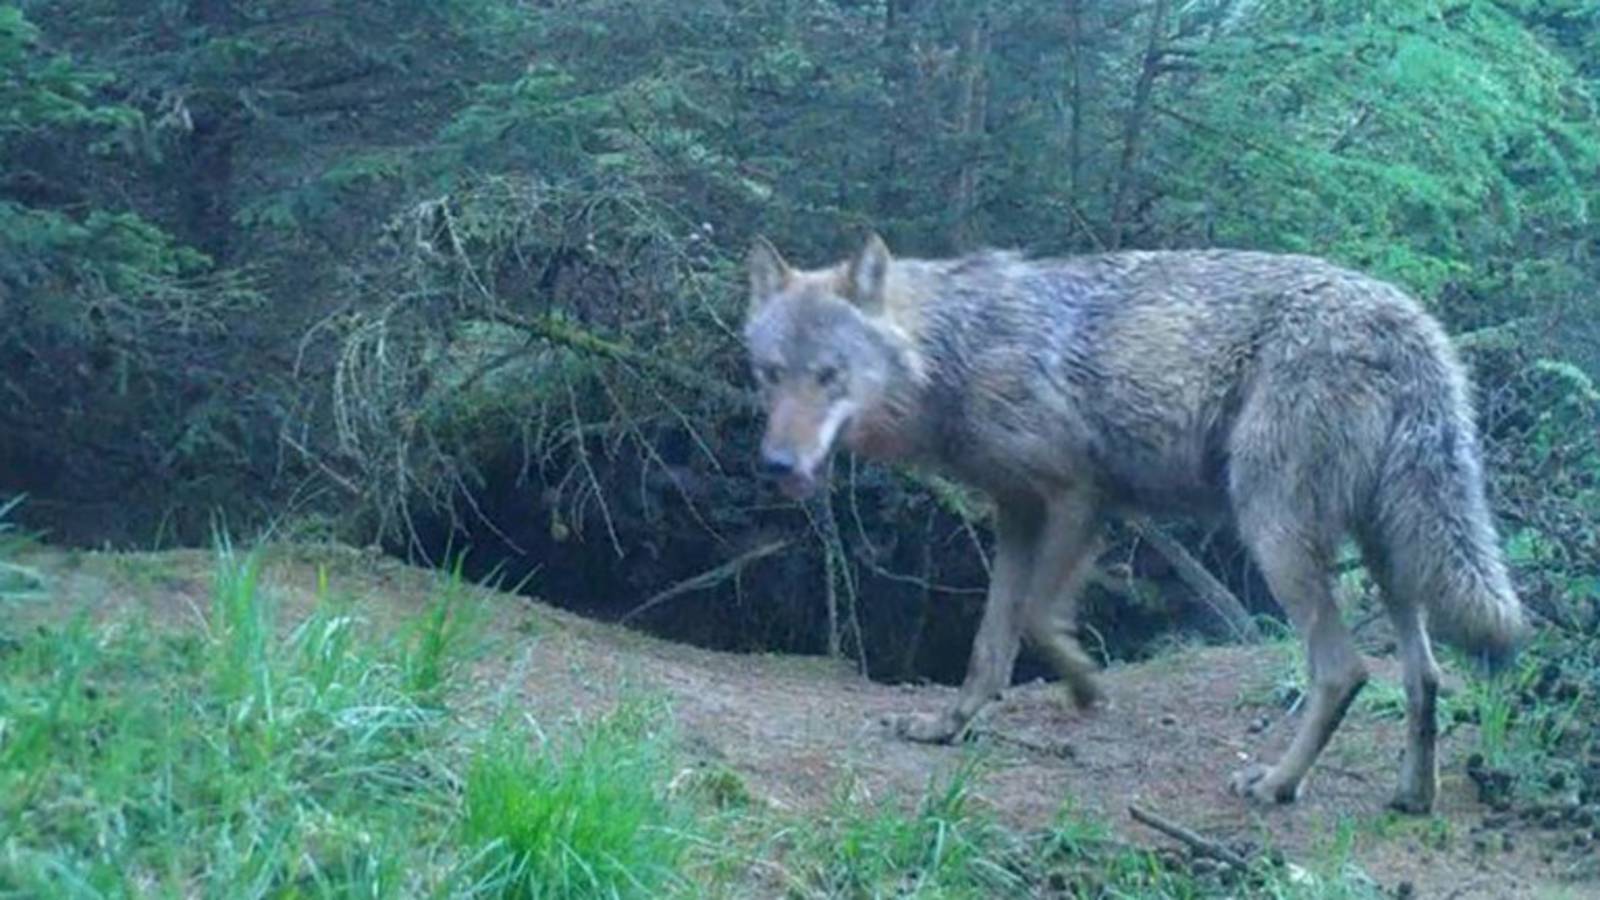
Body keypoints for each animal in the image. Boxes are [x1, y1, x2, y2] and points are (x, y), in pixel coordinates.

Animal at [741, 232, 1527, 813]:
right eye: (770, 374)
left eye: (830, 375)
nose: (776, 463)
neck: (957, 347)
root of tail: (1411, 325)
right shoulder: (1016, 514)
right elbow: (990, 645)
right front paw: (947, 727)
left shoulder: (1079, 499)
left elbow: (1036, 621)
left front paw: (1087, 685)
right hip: (1392, 556)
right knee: (1425, 676)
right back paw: (1413, 797)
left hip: (1276, 537)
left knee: (1345, 670)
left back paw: (1277, 784)